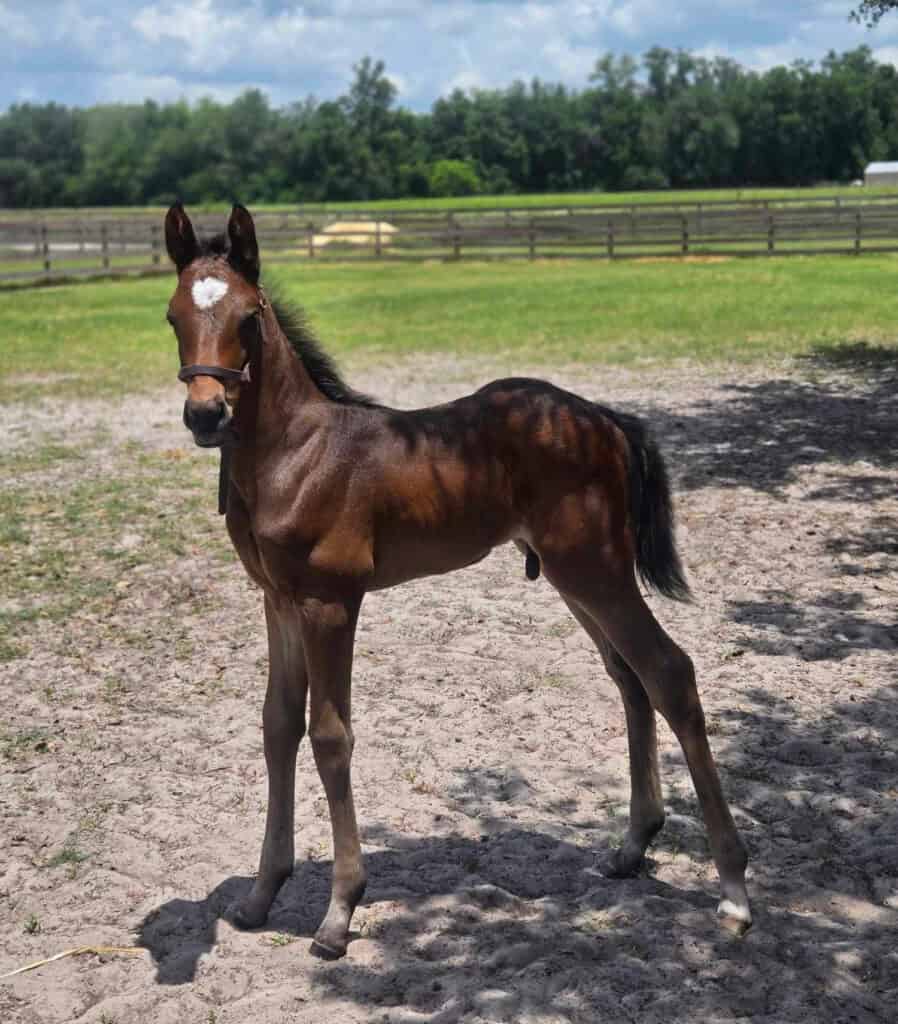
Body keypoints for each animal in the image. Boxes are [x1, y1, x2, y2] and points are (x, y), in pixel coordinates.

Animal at [163, 202, 751, 959]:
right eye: (174, 315)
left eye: (247, 318)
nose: (206, 415)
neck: (296, 453)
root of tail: (604, 419)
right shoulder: (278, 601)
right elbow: (277, 726)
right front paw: (263, 894)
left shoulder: (331, 602)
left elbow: (330, 735)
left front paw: (339, 910)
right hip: (575, 575)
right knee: (631, 677)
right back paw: (631, 847)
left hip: (596, 568)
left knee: (669, 672)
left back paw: (734, 889)